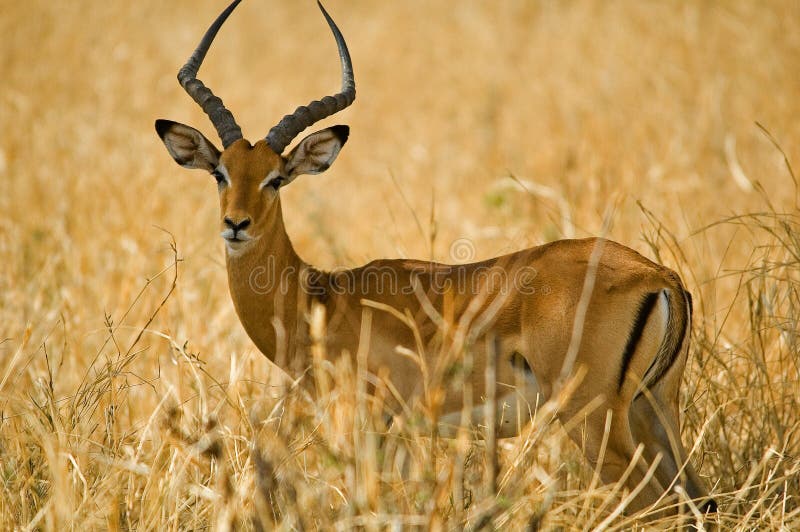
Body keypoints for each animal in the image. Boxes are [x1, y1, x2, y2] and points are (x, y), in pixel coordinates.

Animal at [155, 0, 716, 517]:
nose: (237, 224)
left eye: (275, 178)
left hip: (597, 421)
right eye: (221, 173)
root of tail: (659, 275)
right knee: (698, 498)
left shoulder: (368, 424)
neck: (320, 302)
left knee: (655, 503)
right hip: (654, 411)